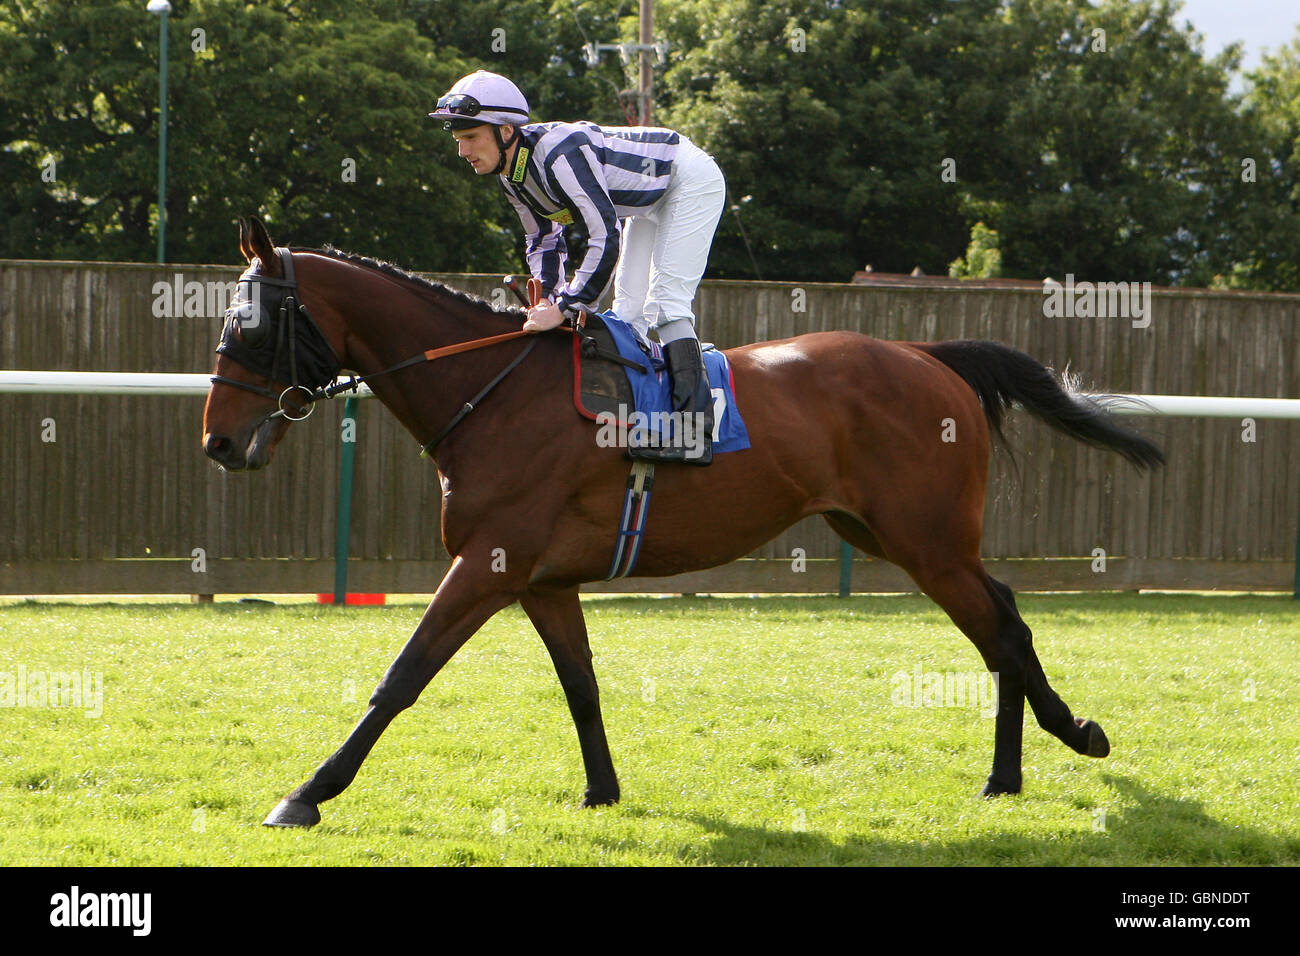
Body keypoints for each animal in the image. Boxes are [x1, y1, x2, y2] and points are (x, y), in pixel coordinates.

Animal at [202, 217, 1163, 828]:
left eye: (250, 326)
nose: (219, 441)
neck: (492, 390)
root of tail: (931, 357)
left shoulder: (489, 562)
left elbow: (402, 676)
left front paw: (308, 792)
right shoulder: (543, 579)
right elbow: (581, 687)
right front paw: (601, 792)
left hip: (927, 542)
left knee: (1004, 627)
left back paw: (1072, 736)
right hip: (890, 535)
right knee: (1000, 622)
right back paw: (1009, 774)